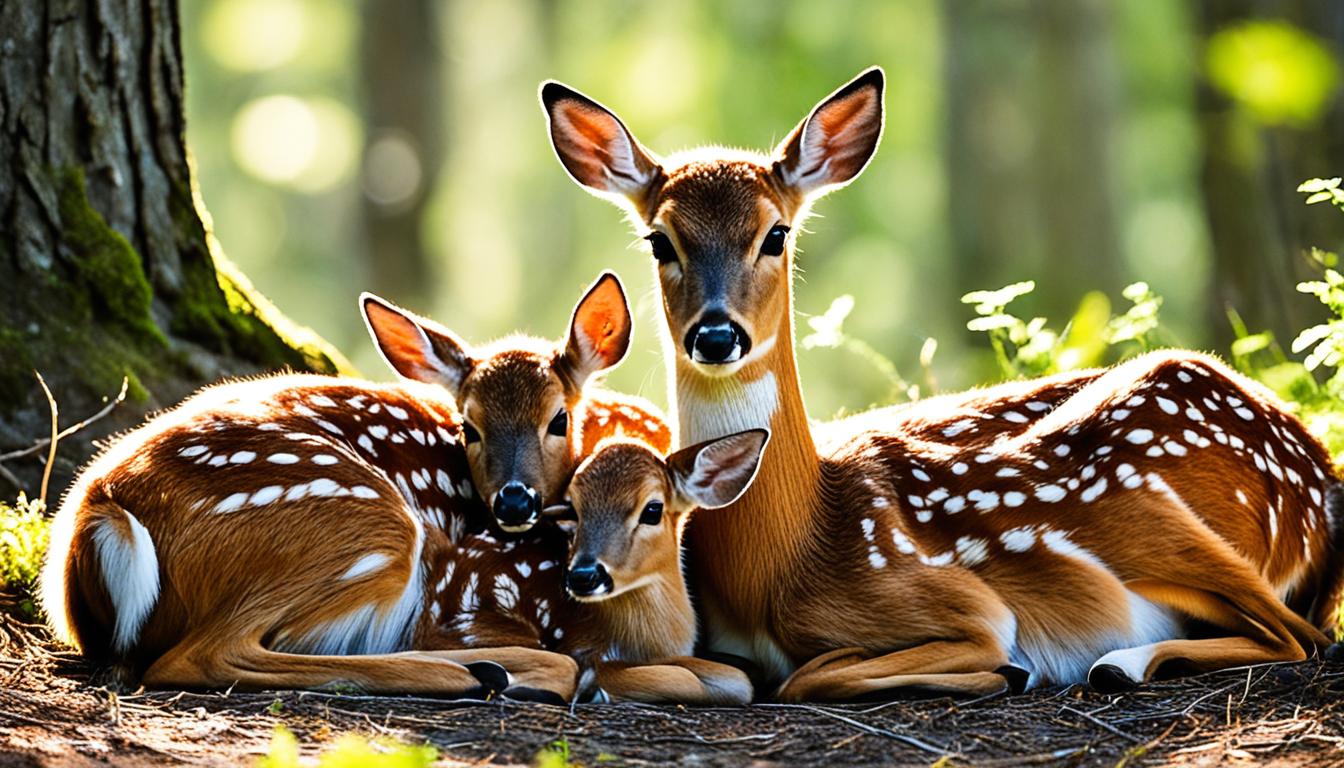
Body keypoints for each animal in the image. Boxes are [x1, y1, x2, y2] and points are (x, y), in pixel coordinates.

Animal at [40, 272, 666, 701]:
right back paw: (474, 674)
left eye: (558, 418)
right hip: (361, 520)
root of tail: (104, 511)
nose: (515, 500)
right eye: (469, 425)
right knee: (198, 657)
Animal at [541, 67, 1343, 700]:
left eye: (776, 234)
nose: (715, 335)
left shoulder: (958, 601)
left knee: (1299, 635)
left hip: (1143, 494)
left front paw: (1011, 668)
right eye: (660, 241)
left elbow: (813, 674)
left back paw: (1122, 660)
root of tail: (1317, 471)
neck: (788, 549)